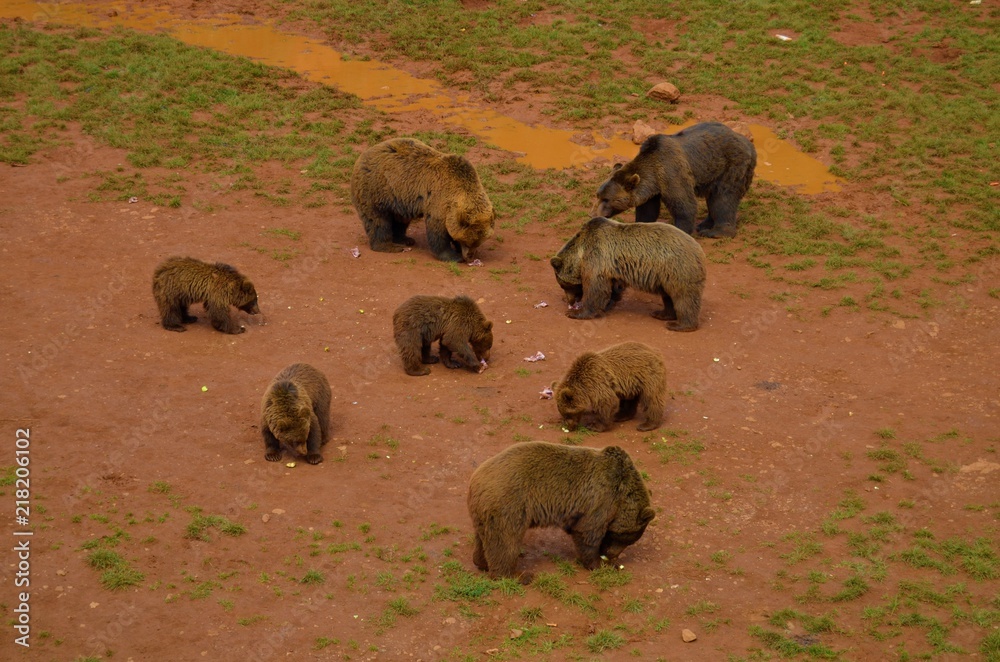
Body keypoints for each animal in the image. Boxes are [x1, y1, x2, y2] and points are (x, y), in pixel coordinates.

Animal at [350, 137, 496, 262]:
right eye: (467, 241)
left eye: (478, 242)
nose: (470, 256)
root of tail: (363, 155)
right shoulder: (439, 201)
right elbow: (438, 233)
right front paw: (452, 256)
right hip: (376, 190)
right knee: (377, 220)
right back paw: (388, 246)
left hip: (399, 198)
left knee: (400, 219)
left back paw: (404, 239)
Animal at [467, 441, 655, 583]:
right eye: (626, 537)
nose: (612, 554)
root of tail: (474, 480)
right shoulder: (601, 500)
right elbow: (588, 533)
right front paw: (600, 563)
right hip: (509, 505)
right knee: (506, 541)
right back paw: (519, 575)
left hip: (486, 513)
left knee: (485, 539)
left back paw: (481, 562)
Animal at [550, 217, 706, 331]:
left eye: (563, 285)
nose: (570, 301)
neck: (581, 254)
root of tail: (699, 250)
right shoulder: (611, 269)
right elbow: (610, 289)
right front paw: (610, 302)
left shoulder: (597, 258)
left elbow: (596, 290)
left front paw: (575, 313)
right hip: (665, 276)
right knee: (668, 295)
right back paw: (662, 314)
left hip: (678, 268)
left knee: (684, 297)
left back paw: (680, 324)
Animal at [594, 122, 756, 238]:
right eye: (598, 195)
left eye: (607, 199)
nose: (595, 214)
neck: (654, 175)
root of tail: (747, 142)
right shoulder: (651, 190)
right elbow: (648, 210)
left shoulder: (672, 173)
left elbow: (684, 206)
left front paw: (681, 231)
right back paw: (704, 224)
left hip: (731, 165)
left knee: (723, 197)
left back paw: (716, 232)